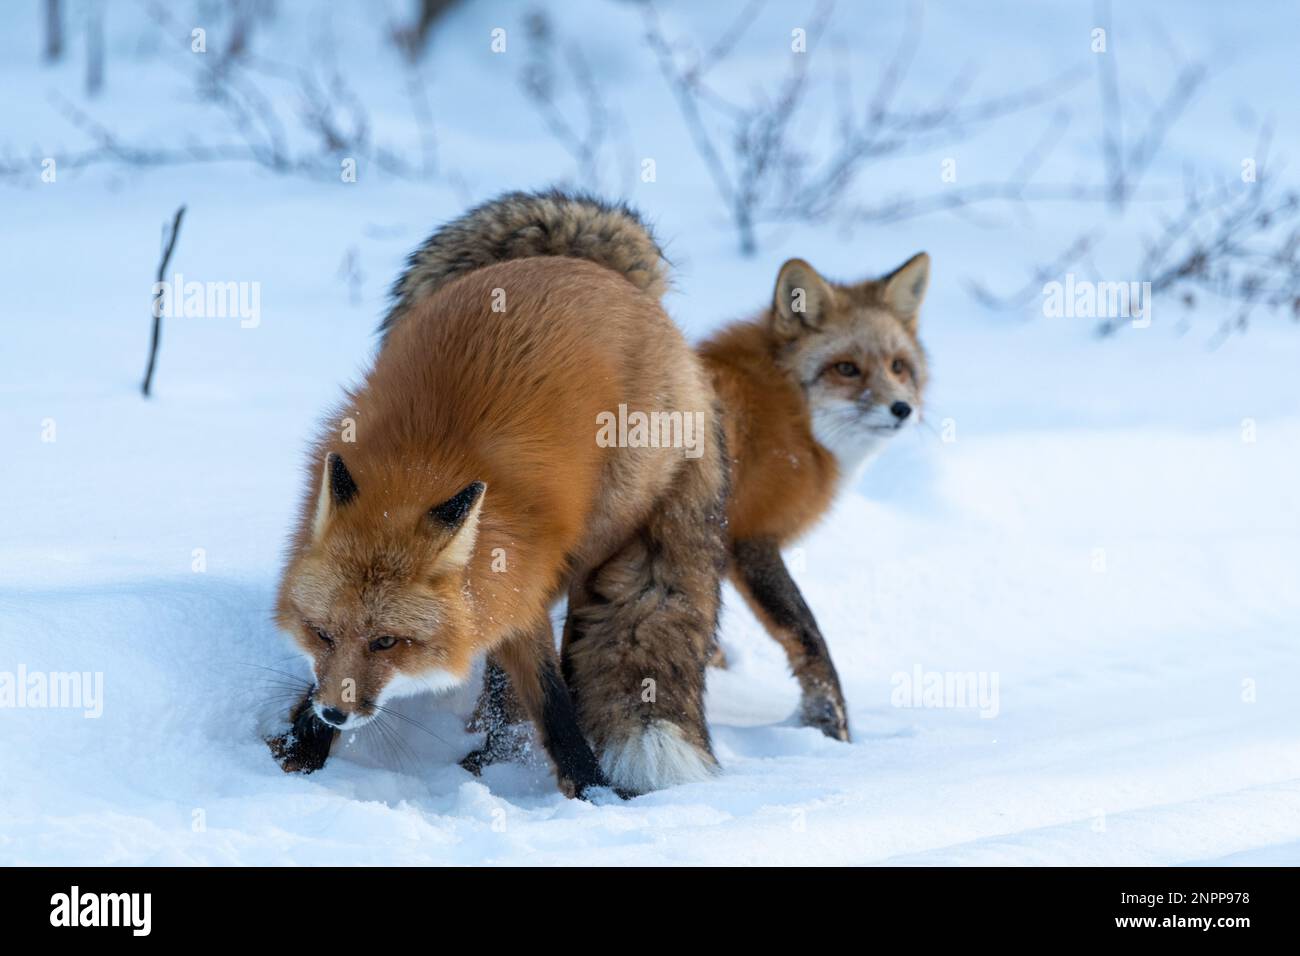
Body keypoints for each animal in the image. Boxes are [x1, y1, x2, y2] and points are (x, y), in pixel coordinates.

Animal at [268, 191, 729, 797]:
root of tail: (601, 270)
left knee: (571, 641)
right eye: (321, 633)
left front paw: (593, 791)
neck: (421, 463)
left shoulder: (521, 583)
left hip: (597, 537)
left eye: (387, 642)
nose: (335, 715)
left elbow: (551, 699)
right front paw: (302, 747)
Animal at [700, 253, 931, 741]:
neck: (791, 411)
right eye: (846, 368)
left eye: (898, 366)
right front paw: (830, 721)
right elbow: (807, 632)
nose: (903, 409)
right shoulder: (750, 538)